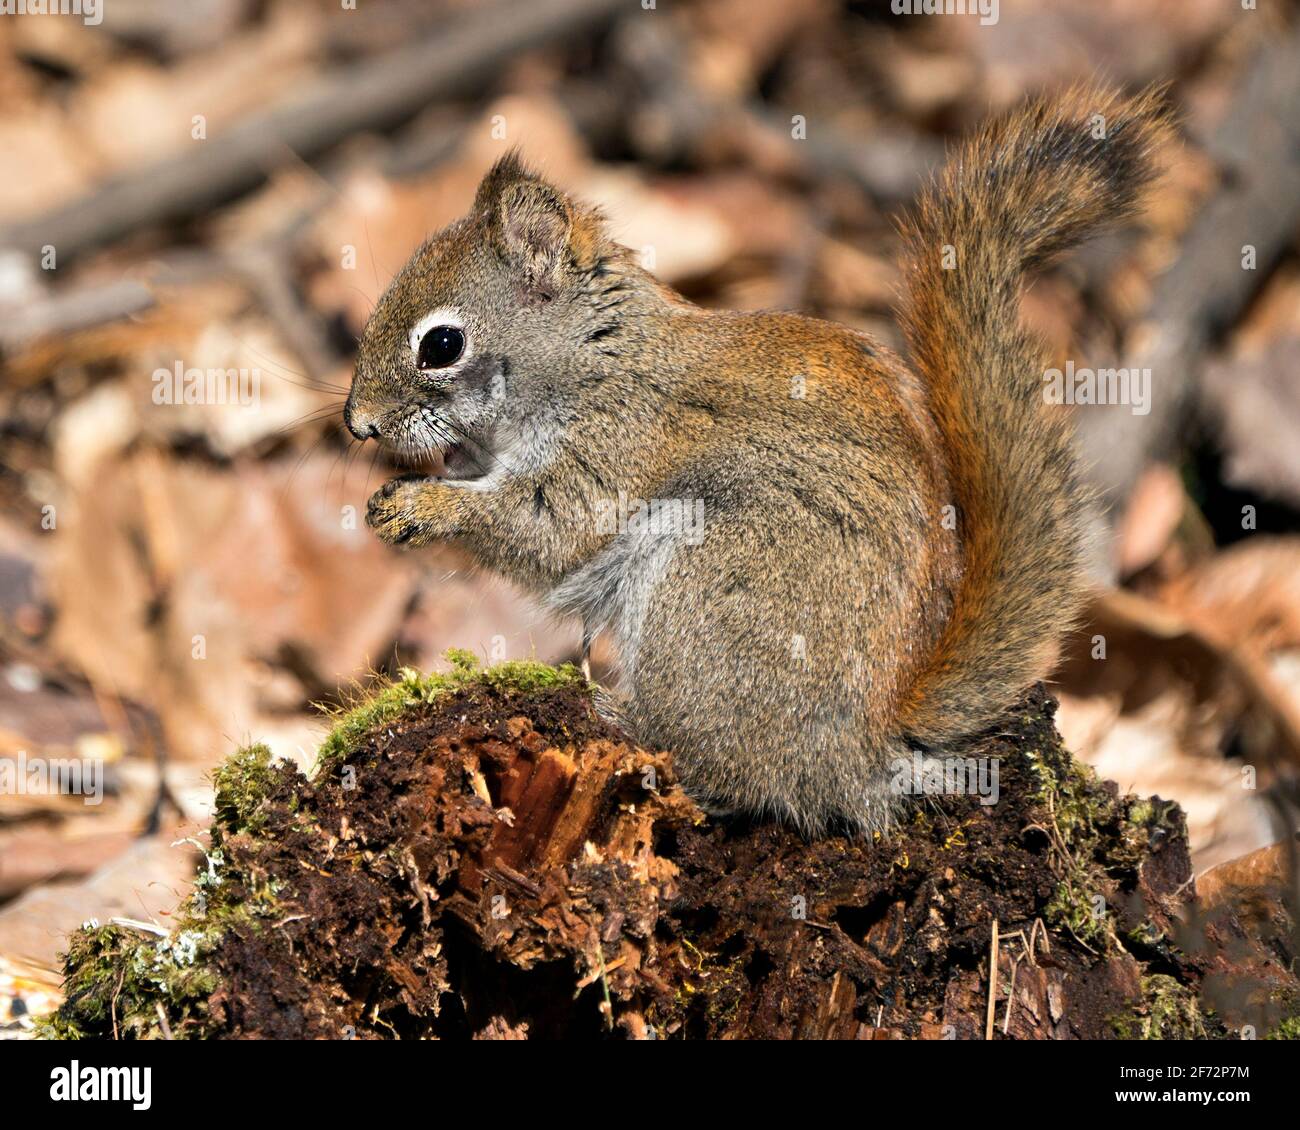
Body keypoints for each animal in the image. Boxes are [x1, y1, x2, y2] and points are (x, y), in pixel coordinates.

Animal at [345, 85, 1173, 836]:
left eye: (441, 345)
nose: (357, 424)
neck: (593, 356)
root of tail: (868, 733)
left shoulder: (620, 438)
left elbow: (551, 527)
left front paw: (421, 506)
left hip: (712, 584)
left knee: (730, 772)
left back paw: (620, 720)